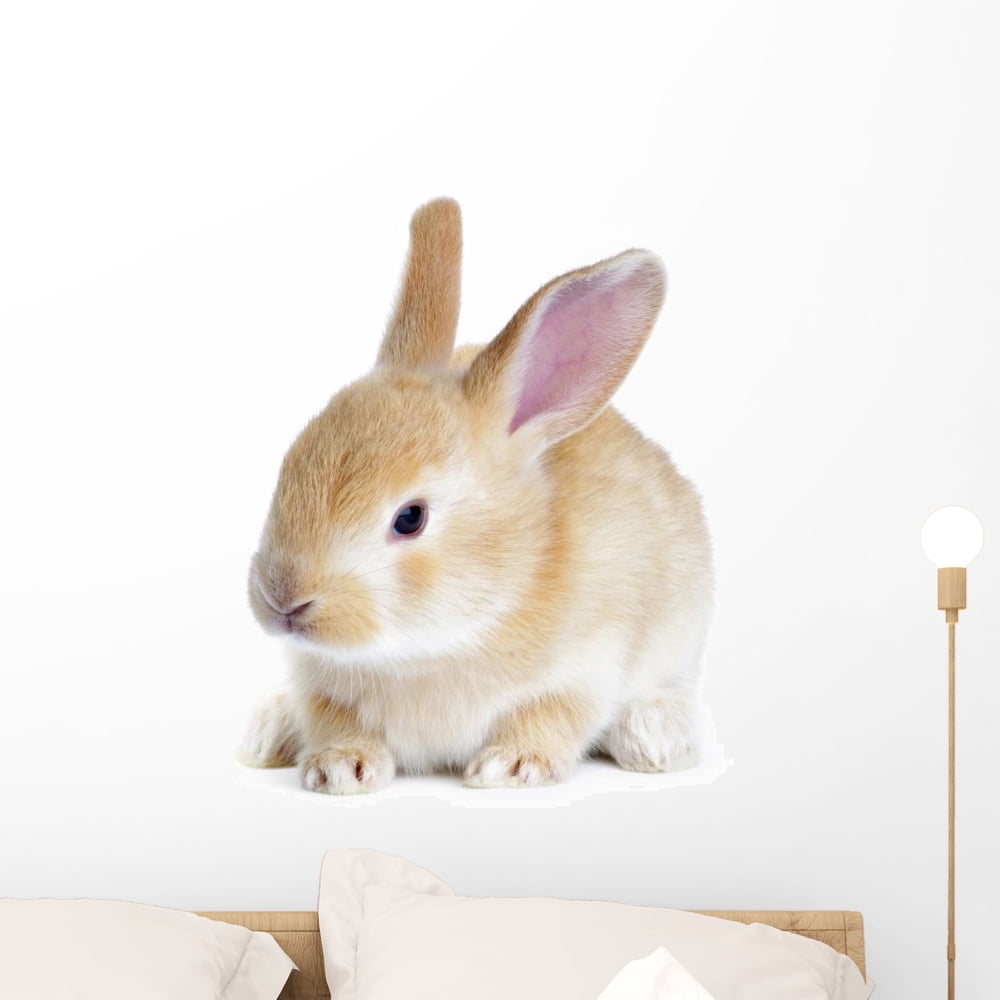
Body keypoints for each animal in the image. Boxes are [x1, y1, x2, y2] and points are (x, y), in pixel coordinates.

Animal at [239, 198, 714, 793]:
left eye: (411, 518)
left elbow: (553, 717)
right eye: (290, 464)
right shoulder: (321, 686)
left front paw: (510, 766)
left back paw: (655, 737)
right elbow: (334, 720)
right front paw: (340, 768)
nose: (283, 598)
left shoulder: (587, 668)